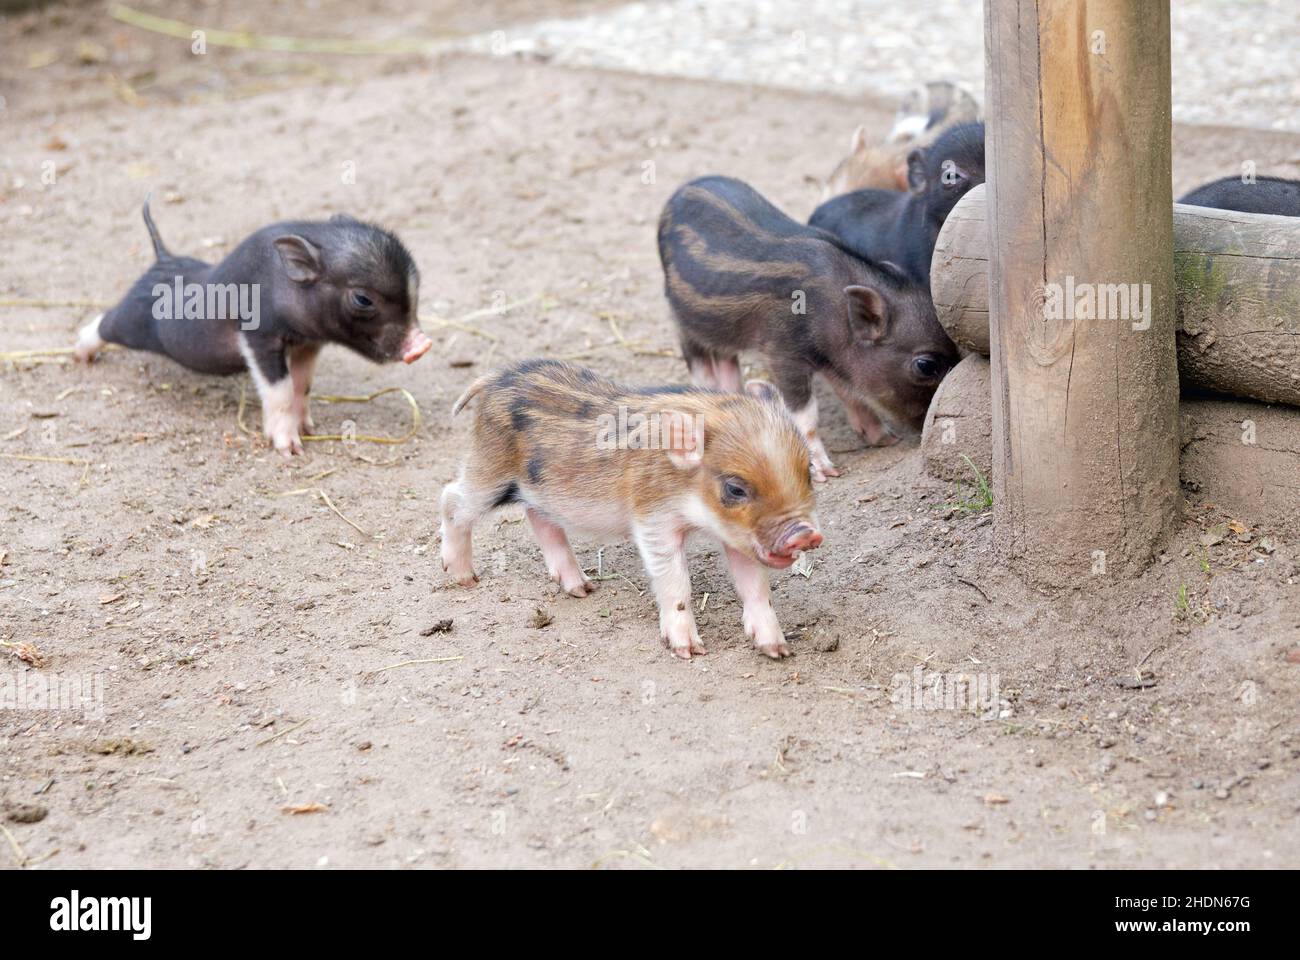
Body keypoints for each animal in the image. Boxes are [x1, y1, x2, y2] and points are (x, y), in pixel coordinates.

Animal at [74, 199, 433, 456]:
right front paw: (291, 450)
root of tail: (162, 258)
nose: (422, 343)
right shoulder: (259, 339)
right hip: (132, 323)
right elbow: (281, 390)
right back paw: (81, 356)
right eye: (363, 299)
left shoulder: (308, 344)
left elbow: (302, 385)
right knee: (105, 321)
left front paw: (309, 429)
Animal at [439, 359, 823, 660]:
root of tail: (496, 378)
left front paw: (777, 650)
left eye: (807, 471)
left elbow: (755, 586)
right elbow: (675, 582)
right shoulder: (653, 519)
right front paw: (689, 651)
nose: (806, 534)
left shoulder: (737, 536)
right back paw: (464, 578)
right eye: (735, 488)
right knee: (450, 498)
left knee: (538, 517)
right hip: (489, 470)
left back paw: (582, 589)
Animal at [658, 175, 959, 482]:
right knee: (699, 363)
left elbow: (851, 394)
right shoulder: (783, 354)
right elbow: (806, 415)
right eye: (925, 365)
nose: (923, 432)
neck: (832, 310)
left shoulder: (830, 357)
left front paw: (884, 438)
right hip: (683, 321)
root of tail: (680, 192)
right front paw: (826, 472)